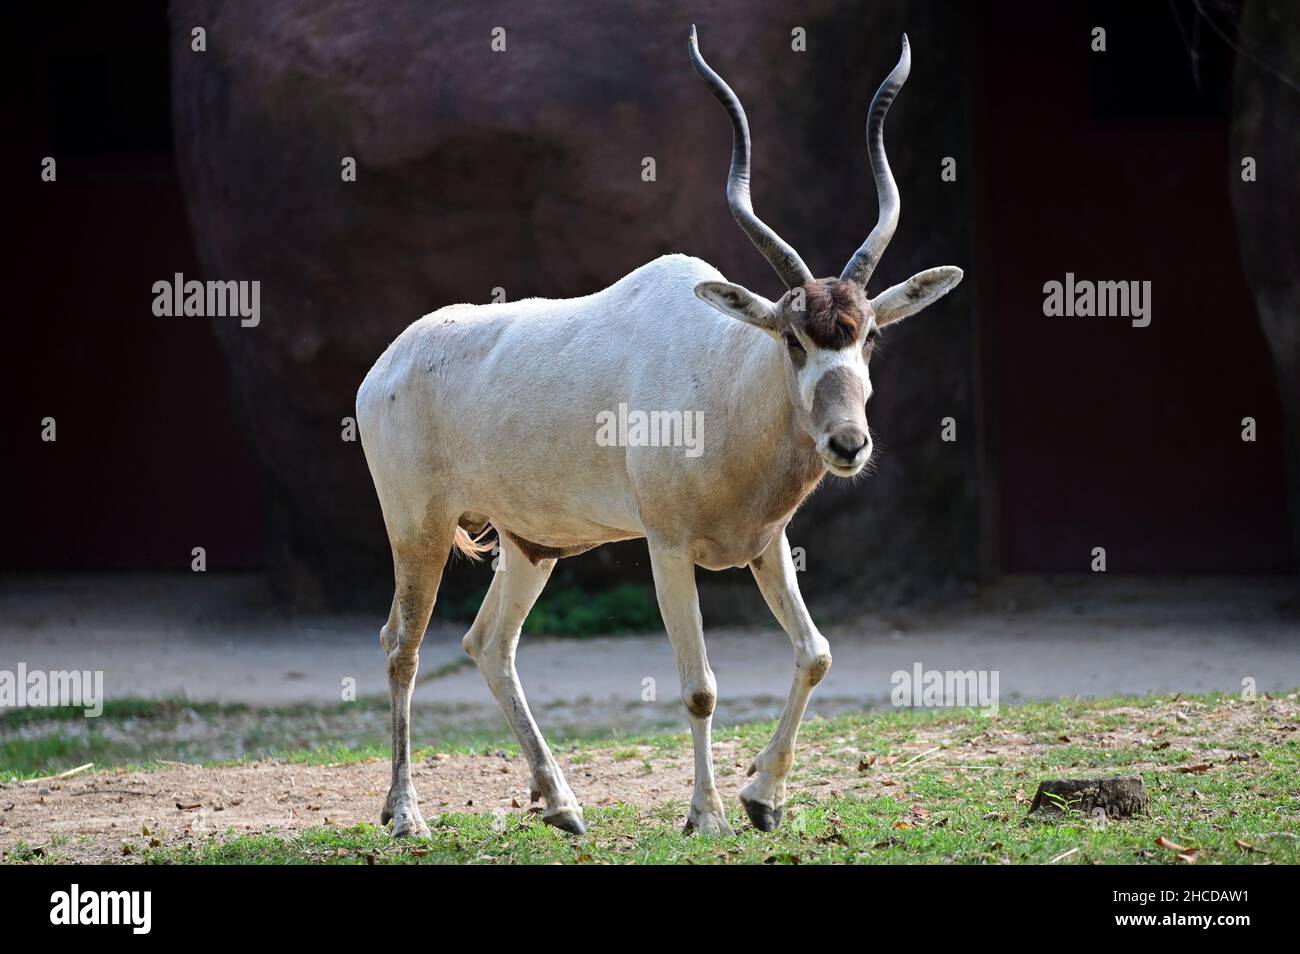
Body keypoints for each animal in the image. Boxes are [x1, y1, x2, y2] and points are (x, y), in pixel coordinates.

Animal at [357, 27, 962, 838]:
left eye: (867, 336)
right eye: (793, 339)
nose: (848, 445)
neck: (725, 372)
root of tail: (387, 364)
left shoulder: (764, 544)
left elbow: (816, 653)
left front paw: (762, 798)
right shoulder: (668, 549)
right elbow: (700, 684)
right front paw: (706, 814)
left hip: (531, 545)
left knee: (489, 644)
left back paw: (562, 806)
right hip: (417, 530)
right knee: (403, 646)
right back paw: (406, 815)